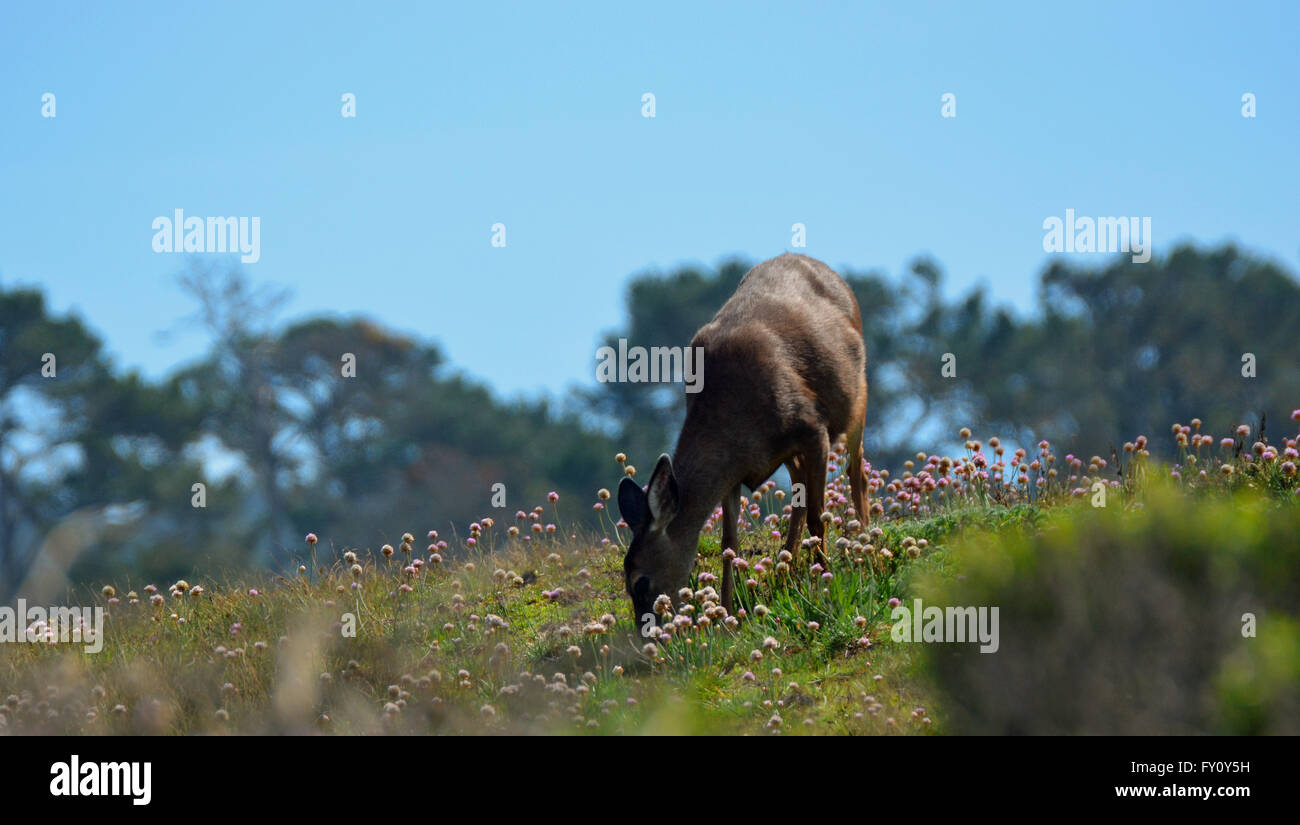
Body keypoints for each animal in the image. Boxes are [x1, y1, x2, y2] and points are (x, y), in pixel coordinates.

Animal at [617, 253, 869, 627]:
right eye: (626, 583)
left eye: (641, 581)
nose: (646, 632)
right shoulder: (733, 473)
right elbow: (728, 542)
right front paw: (725, 612)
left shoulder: (812, 428)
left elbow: (817, 514)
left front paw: (827, 580)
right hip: (791, 453)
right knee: (802, 490)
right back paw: (785, 566)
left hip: (857, 394)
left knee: (857, 471)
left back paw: (864, 541)